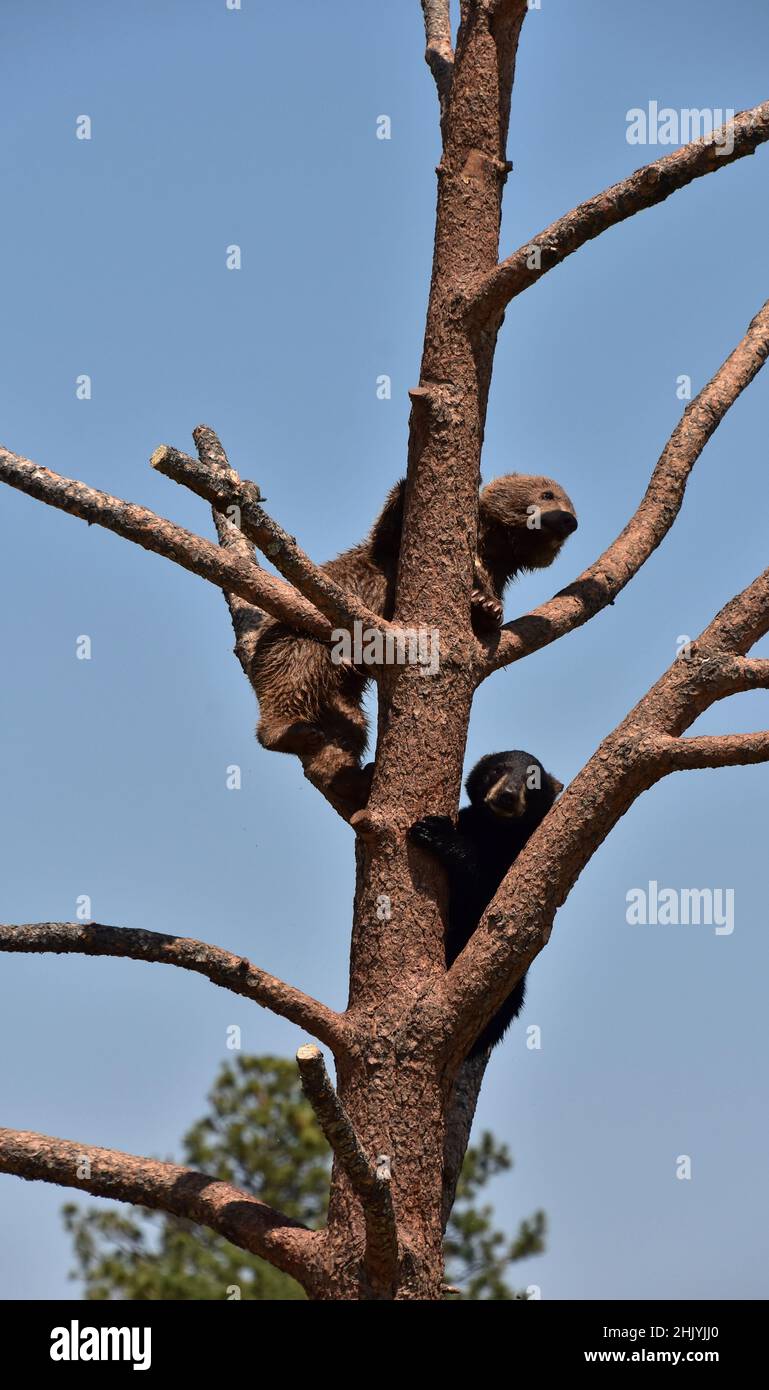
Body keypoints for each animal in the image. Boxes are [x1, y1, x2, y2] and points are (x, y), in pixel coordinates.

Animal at [251, 477, 576, 815]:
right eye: (548, 494)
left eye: (569, 503)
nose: (568, 520)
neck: (494, 546)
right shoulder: (387, 557)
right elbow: (389, 529)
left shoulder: (497, 576)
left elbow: (483, 620)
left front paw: (487, 606)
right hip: (304, 626)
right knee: (298, 665)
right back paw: (283, 730)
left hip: (340, 695)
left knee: (348, 729)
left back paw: (350, 776)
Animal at [408, 749, 564, 1057]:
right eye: (497, 770)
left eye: (533, 783)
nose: (507, 795)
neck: (494, 831)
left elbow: (486, 888)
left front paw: (436, 832)